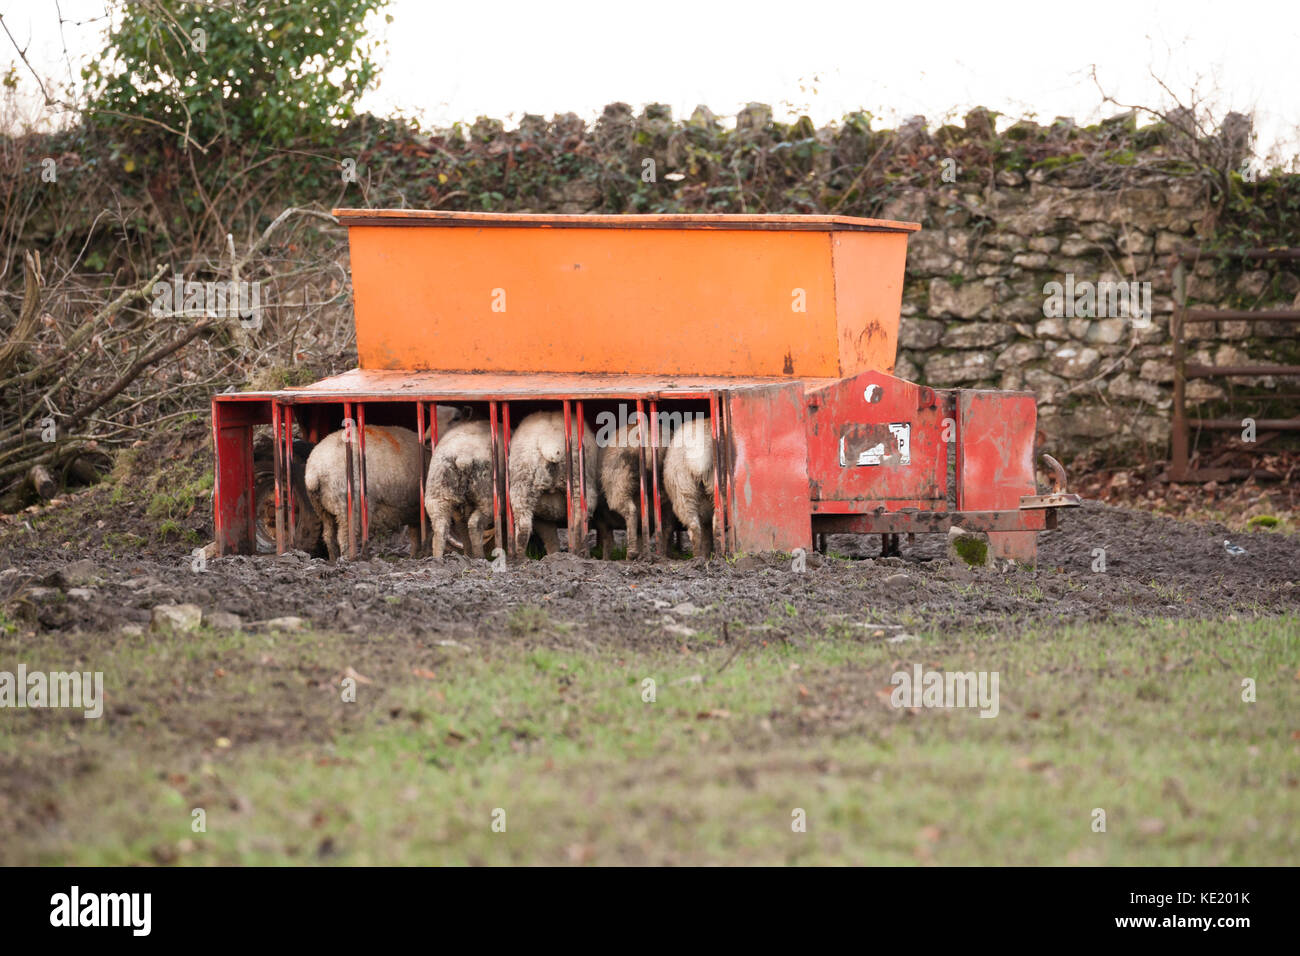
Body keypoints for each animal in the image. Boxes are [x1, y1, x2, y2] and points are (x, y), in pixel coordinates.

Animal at [304, 424, 426, 560]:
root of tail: (314, 472)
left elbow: (415, 535)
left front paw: (415, 555)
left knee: (329, 536)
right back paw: (350, 558)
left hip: (323, 509)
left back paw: (334, 559)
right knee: (345, 536)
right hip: (346, 506)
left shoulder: (415, 513)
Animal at [423, 419, 495, 560]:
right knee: (475, 524)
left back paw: (438, 559)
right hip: (486, 497)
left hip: (438, 495)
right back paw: (480, 557)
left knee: (441, 527)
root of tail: (463, 457)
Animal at [507, 410, 597, 556]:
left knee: (523, 527)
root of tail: (549, 440)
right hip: (578, 485)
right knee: (578, 522)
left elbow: (550, 537)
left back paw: (520, 557)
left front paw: (554, 555)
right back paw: (580, 553)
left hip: (522, 486)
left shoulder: (542, 516)